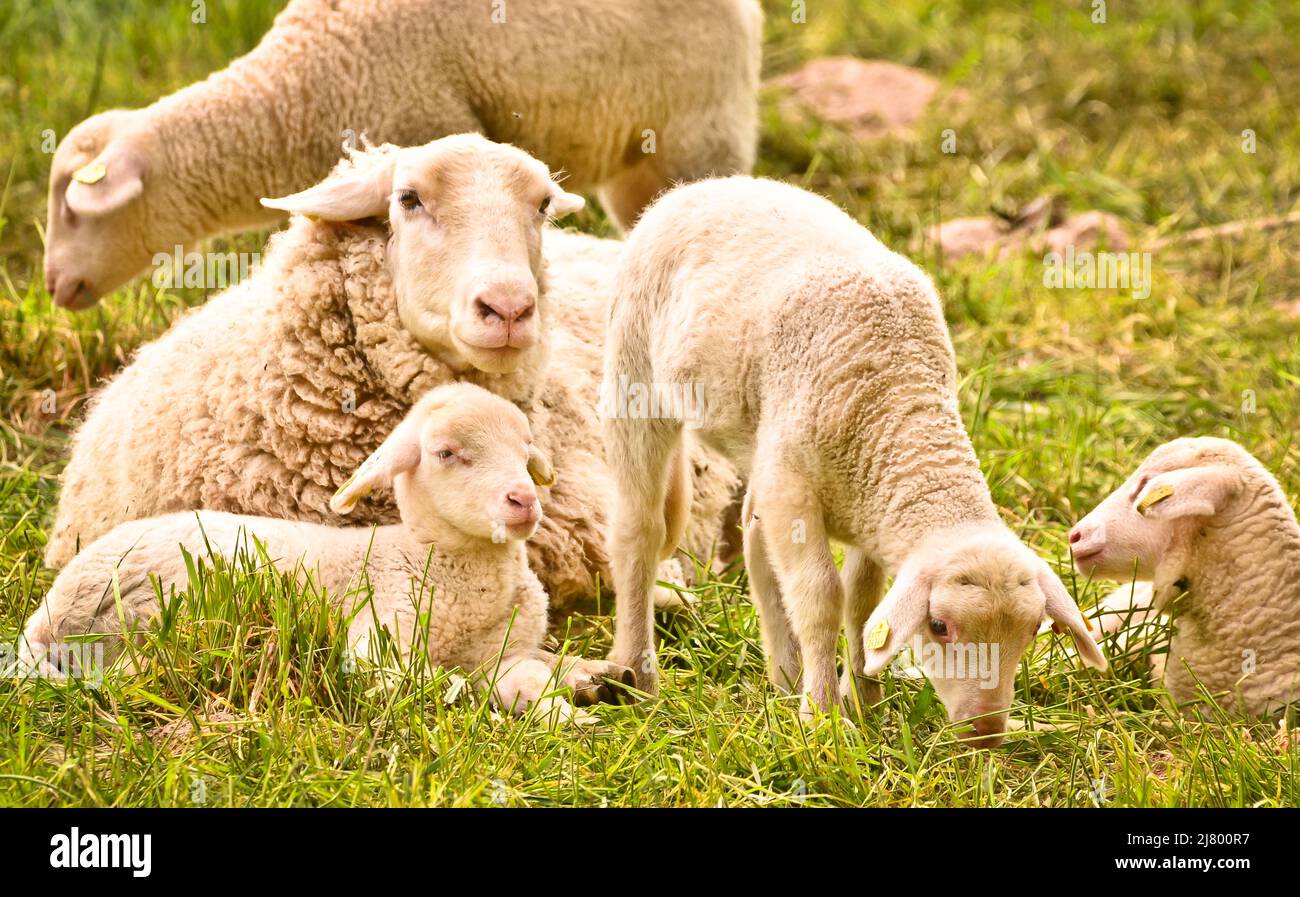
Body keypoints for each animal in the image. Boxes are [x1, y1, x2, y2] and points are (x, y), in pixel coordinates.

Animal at [22, 383, 635, 723]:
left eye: (525, 447)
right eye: (445, 453)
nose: (524, 501)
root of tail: (47, 613)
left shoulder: (506, 647)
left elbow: (540, 664)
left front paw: (592, 677)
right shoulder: (380, 637)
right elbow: (432, 682)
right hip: (150, 606)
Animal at [601, 176, 1105, 745]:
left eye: (1031, 630)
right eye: (939, 627)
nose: (985, 733)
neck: (902, 412)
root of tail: (706, 185)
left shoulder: (871, 508)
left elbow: (864, 604)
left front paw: (864, 702)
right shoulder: (795, 490)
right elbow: (822, 597)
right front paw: (822, 718)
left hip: (760, 443)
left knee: (754, 536)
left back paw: (784, 677)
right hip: (634, 375)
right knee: (636, 532)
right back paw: (640, 673)